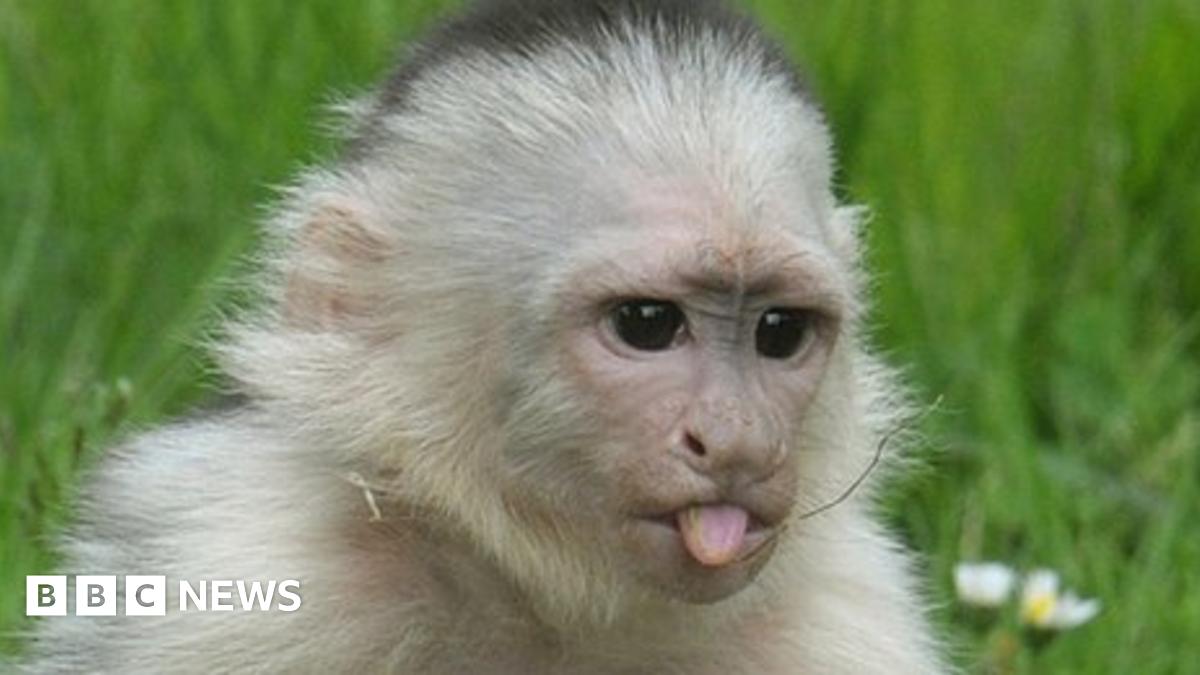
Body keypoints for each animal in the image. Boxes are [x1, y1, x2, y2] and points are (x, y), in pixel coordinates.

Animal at [21, 0, 946, 672]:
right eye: (647, 324)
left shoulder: (847, 622)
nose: (738, 439)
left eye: (779, 332)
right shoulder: (232, 564)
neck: (549, 598)